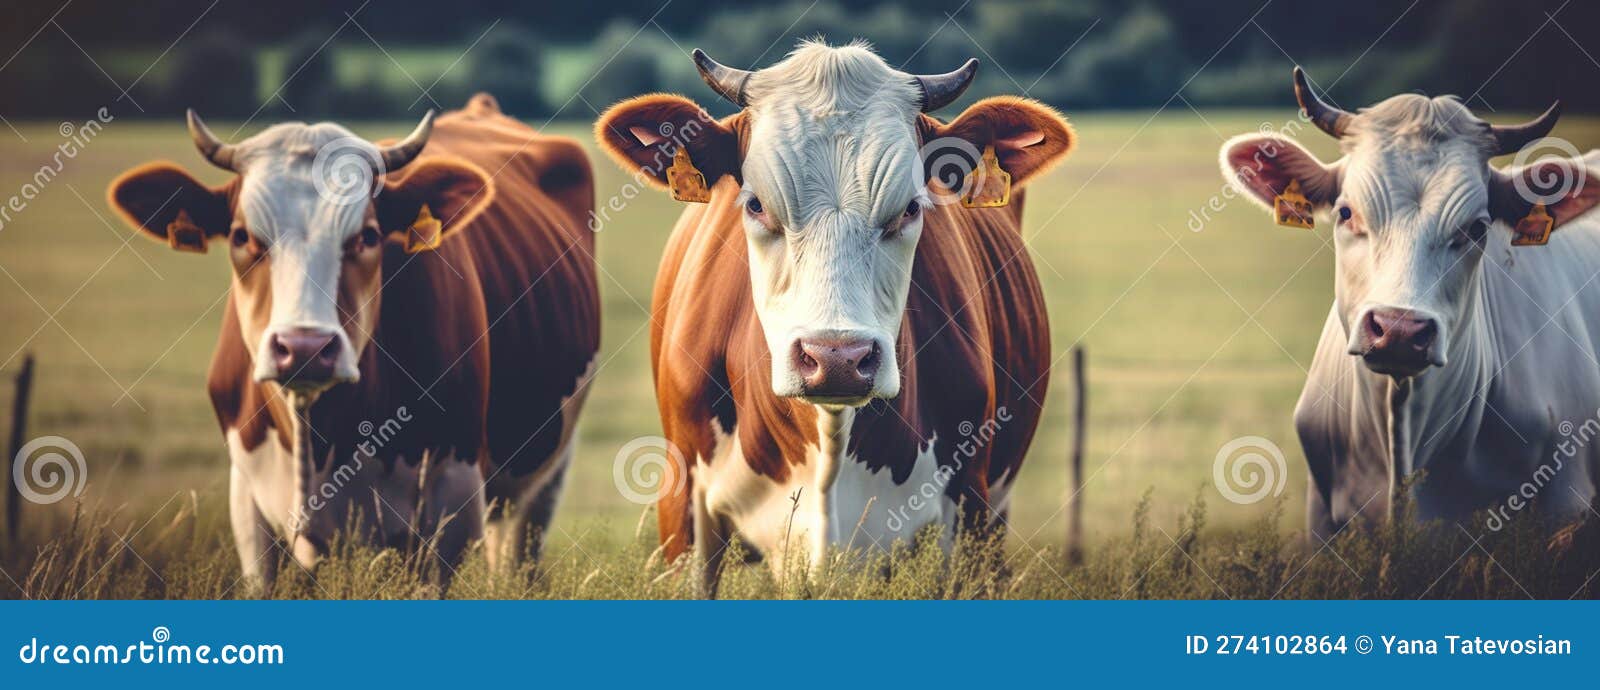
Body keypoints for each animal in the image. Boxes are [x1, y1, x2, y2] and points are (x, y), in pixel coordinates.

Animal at [106, 94, 599, 592]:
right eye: (243, 235)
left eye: (369, 235)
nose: (304, 348)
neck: (322, 440)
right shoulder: (247, 497)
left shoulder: (451, 506)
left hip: (542, 479)